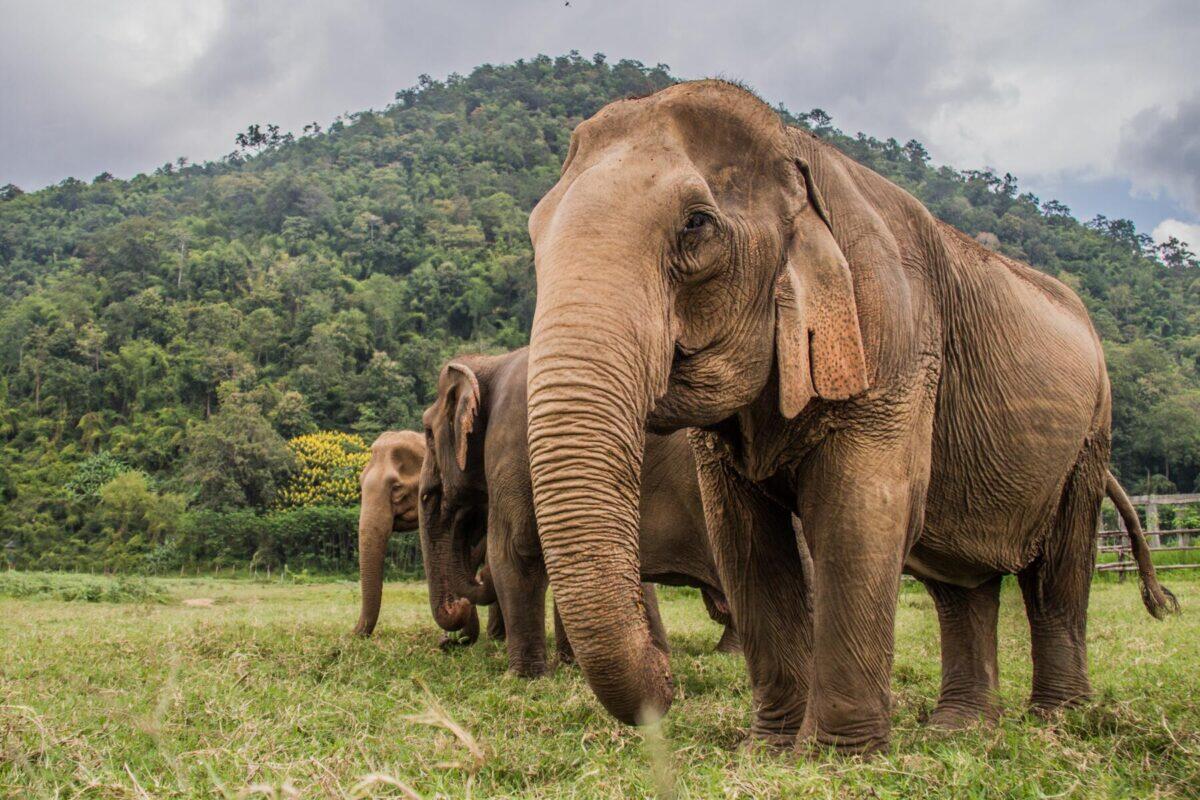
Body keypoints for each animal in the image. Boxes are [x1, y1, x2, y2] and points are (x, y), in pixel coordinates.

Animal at [418, 347, 740, 678]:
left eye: (428, 433)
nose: (448, 641)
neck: (492, 362)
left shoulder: (512, 441)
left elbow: (514, 550)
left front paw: (525, 677)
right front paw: (570, 666)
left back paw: (727, 654)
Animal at [522, 79, 1176, 753]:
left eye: (696, 224)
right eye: (534, 235)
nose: (667, 675)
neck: (794, 154)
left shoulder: (894, 332)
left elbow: (859, 512)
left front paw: (835, 756)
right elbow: (743, 538)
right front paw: (770, 749)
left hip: (1090, 436)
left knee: (1057, 574)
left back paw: (1058, 720)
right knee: (961, 584)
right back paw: (957, 728)